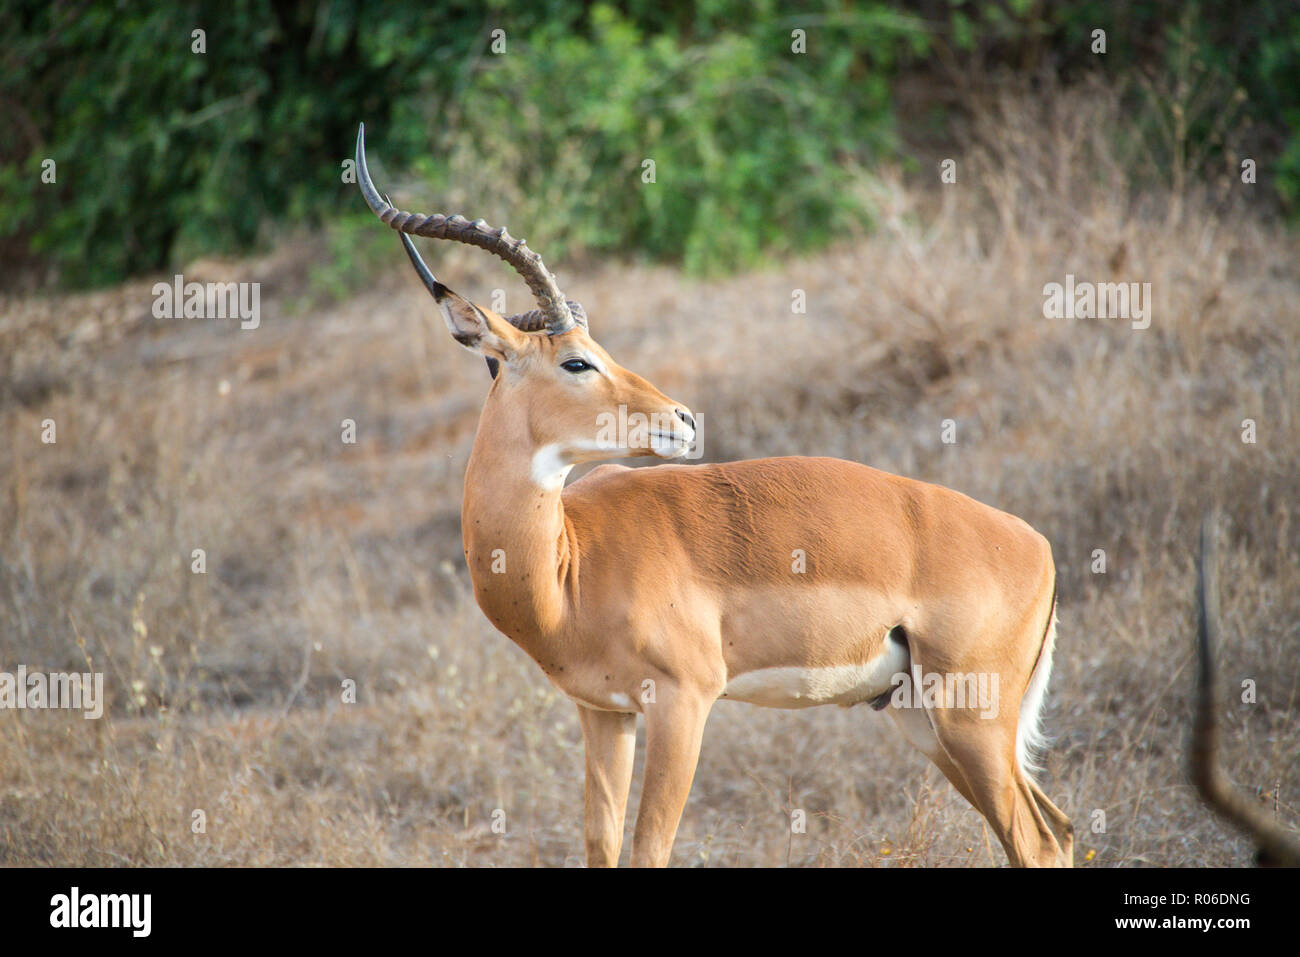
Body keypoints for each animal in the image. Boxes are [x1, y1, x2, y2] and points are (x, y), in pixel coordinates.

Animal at [355, 124, 1074, 867]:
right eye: (577, 360)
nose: (683, 419)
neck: (568, 563)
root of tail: (1038, 547)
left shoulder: (683, 702)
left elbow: (648, 849)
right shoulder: (605, 712)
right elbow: (601, 845)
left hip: (969, 717)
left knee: (1037, 840)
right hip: (923, 719)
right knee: (1060, 828)